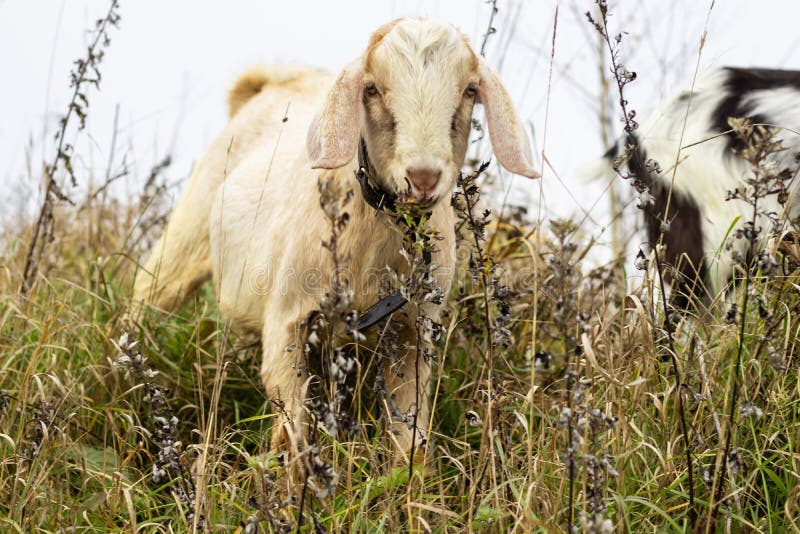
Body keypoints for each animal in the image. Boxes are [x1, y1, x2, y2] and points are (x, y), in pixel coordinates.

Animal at [131, 18, 538, 464]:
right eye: (372, 88)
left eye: (468, 90)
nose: (423, 177)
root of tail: (266, 86)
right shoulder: (288, 321)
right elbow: (291, 434)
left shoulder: (414, 334)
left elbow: (408, 439)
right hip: (186, 235)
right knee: (150, 291)